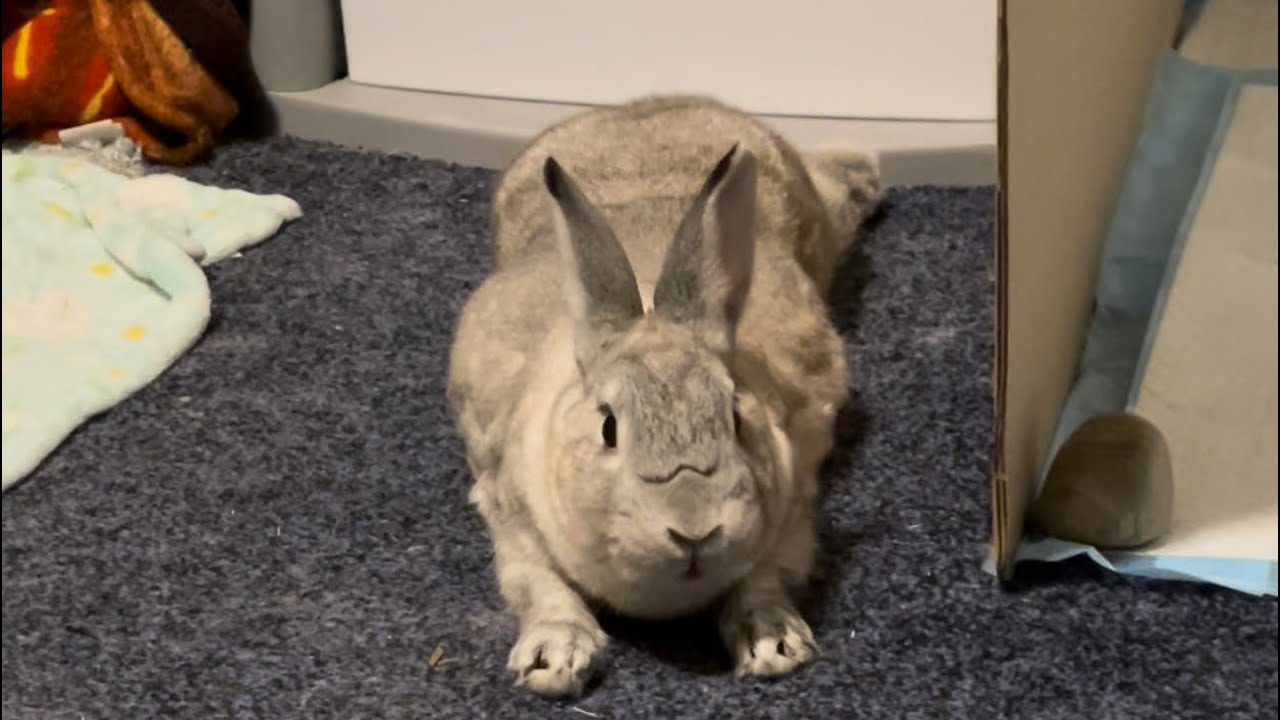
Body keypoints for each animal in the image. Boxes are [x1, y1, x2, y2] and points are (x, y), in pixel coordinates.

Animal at [446, 95, 881, 697]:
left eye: (735, 417)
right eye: (608, 428)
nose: (694, 531)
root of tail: (653, 104)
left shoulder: (793, 511)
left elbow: (769, 577)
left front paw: (774, 643)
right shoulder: (507, 511)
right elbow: (538, 587)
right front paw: (552, 661)